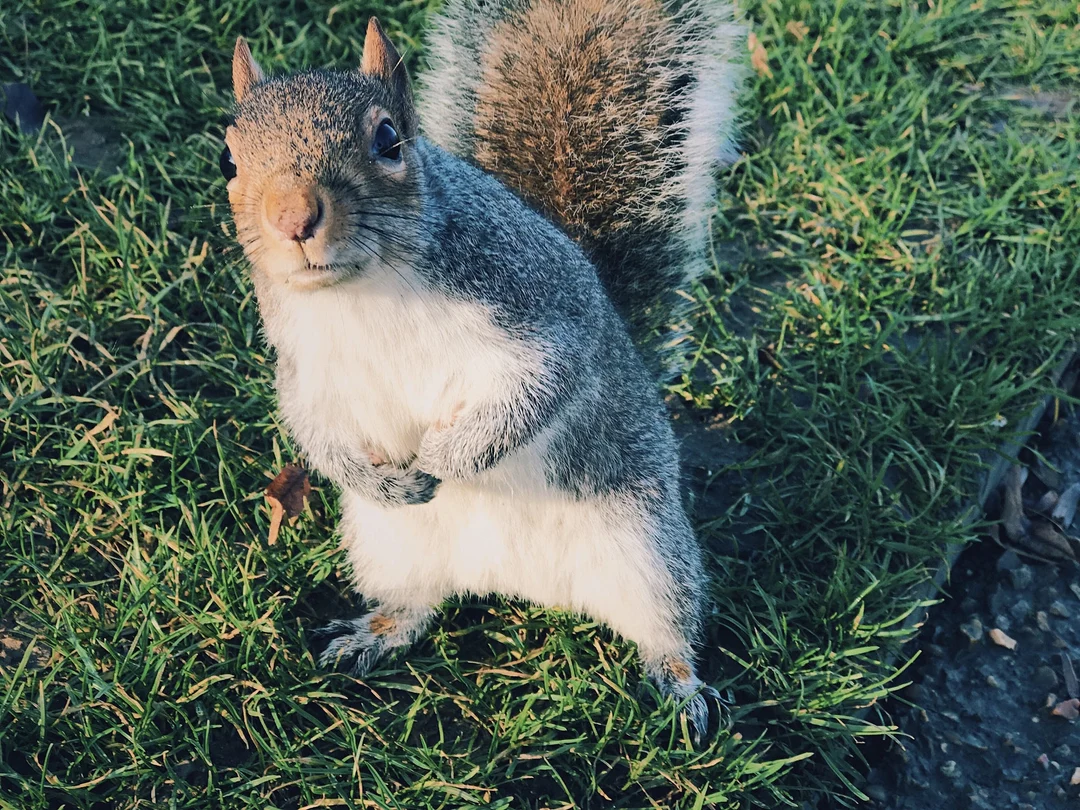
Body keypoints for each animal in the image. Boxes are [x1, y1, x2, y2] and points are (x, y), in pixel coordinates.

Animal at [222, 0, 744, 741]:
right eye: (228, 158)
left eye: (389, 141)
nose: (292, 216)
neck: (361, 294)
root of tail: (519, 580)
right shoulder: (305, 370)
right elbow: (314, 428)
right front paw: (387, 479)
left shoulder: (540, 318)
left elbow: (535, 393)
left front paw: (447, 458)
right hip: (390, 548)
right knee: (414, 605)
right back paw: (372, 634)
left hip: (648, 553)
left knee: (665, 629)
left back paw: (680, 687)